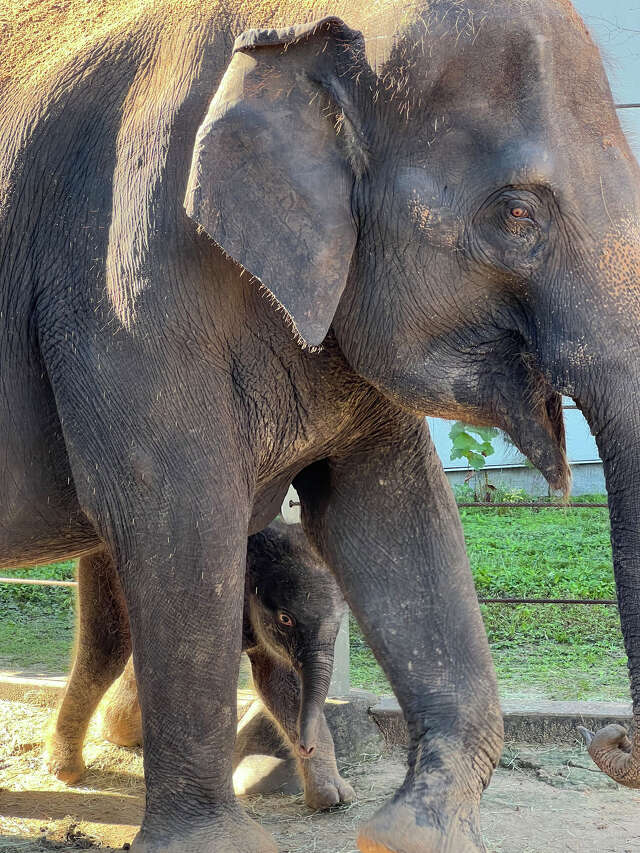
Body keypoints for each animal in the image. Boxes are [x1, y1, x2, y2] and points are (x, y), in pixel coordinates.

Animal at [46, 520, 354, 810]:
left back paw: (120, 733)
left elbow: (278, 682)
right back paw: (66, 770)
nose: (305, 747)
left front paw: (334, 798)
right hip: (106, 571)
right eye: (285, 619)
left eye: (342, 618)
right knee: (107, 647)